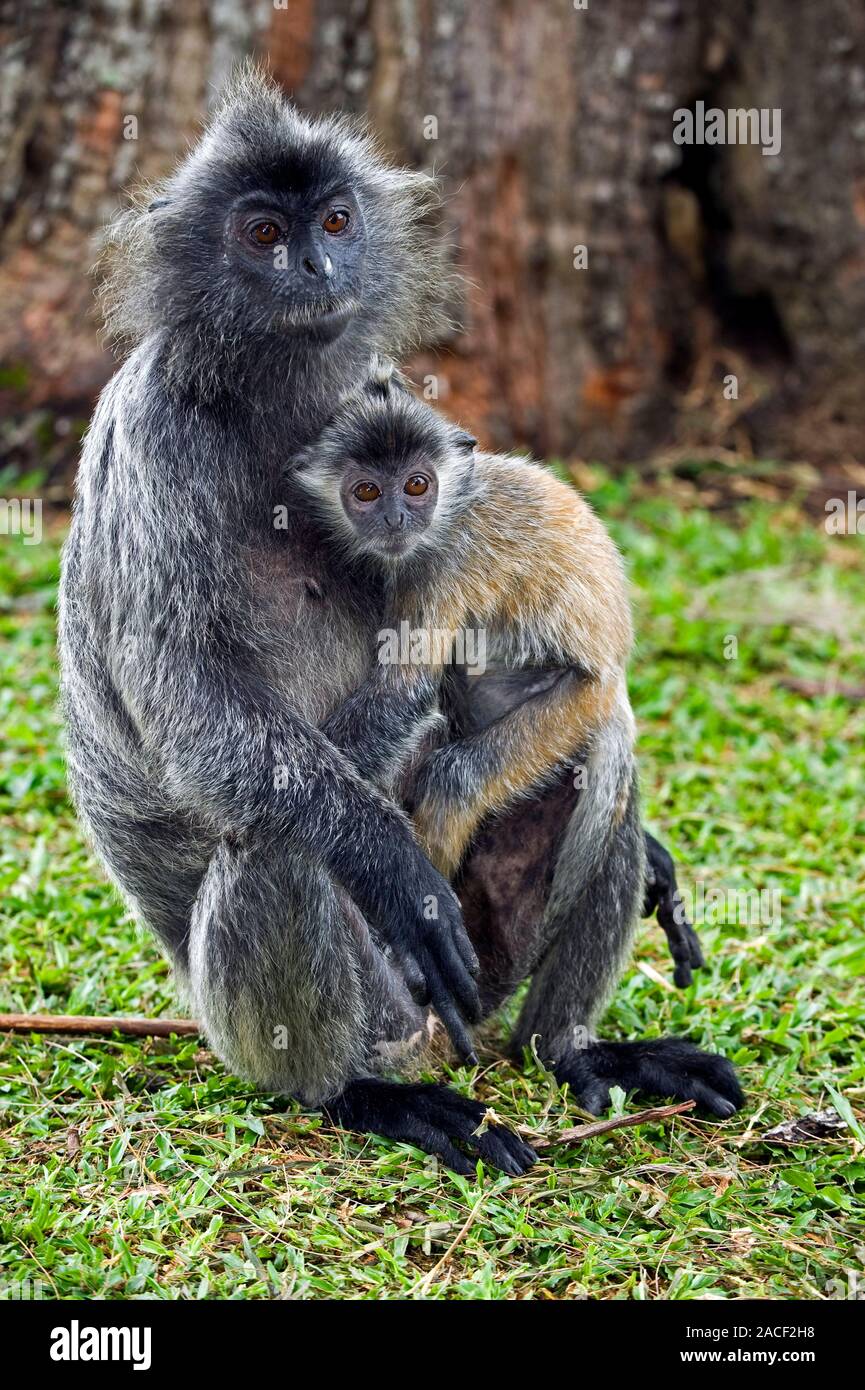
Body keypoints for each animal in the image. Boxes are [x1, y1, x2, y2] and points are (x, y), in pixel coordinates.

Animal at [58, 68, 738, 1178]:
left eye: (335, 219)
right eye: (261, 232)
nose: (316, 263)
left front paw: (658, 867)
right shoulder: (159, 436)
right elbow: (197, 705)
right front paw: (388, 863)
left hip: (487, 963)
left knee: (604, 730)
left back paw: (574, 1047)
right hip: (357, 1000)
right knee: (282, 836)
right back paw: (361, 1092)